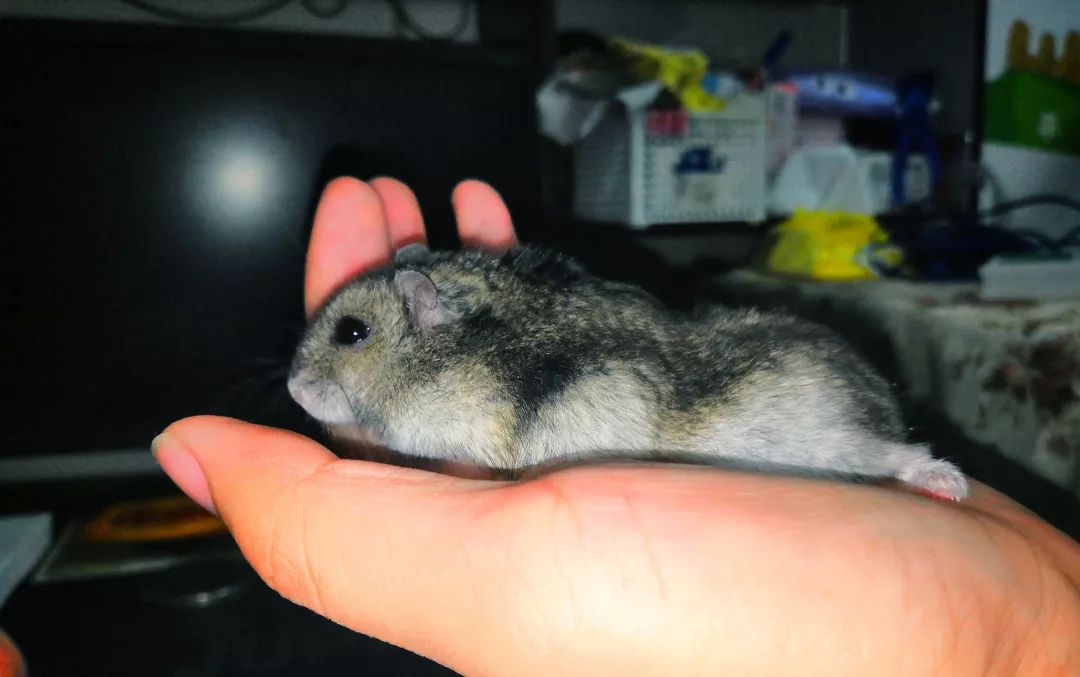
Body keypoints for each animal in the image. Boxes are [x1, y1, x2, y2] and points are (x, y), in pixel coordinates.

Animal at [288, 243, 969, 501]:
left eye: (352, 332)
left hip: (825, 441)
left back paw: (948, 484)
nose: (292, 388)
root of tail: (881, 403)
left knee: (900, 454)